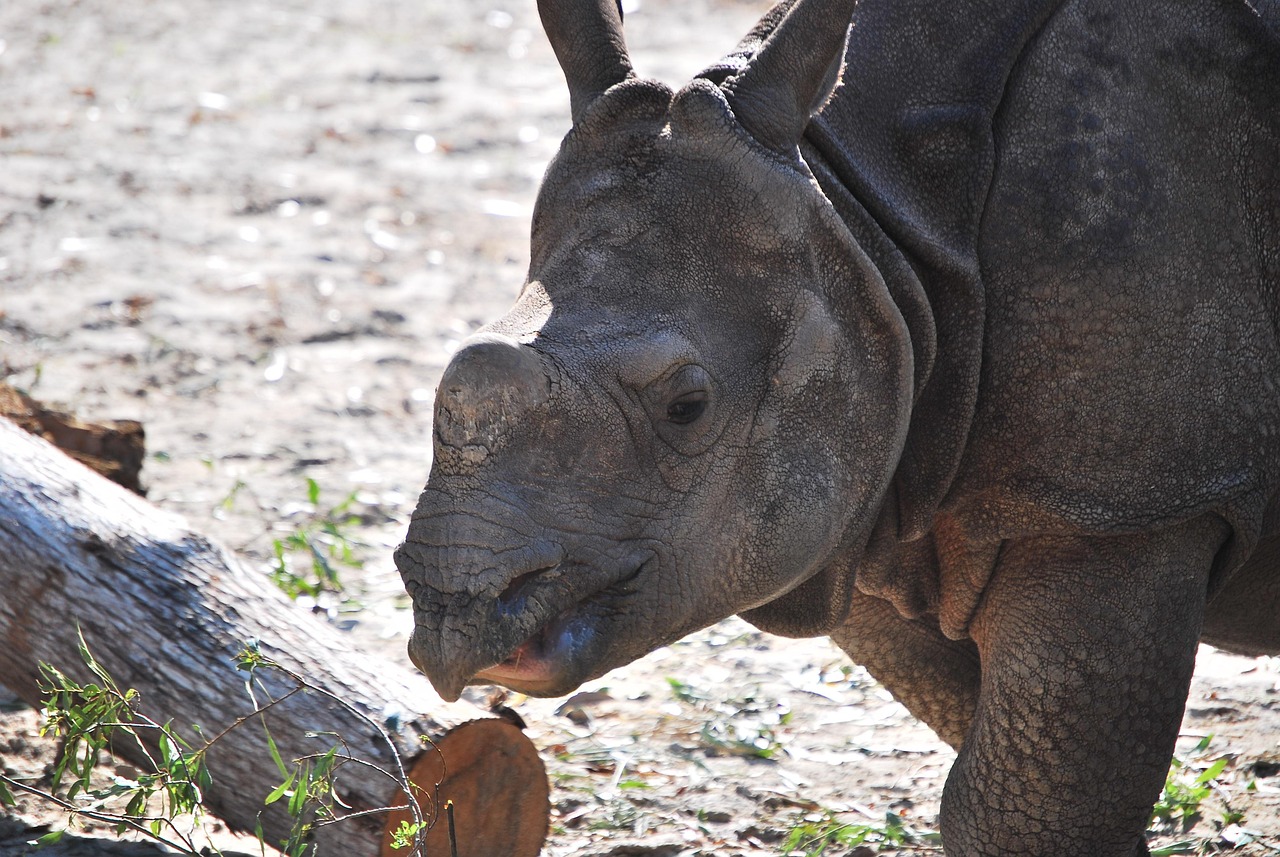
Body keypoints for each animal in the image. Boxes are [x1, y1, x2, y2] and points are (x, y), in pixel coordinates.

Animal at [395, 0, 1280, 852]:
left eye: (688, 406)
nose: (448, 623)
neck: (869, 222)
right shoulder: (866, 481)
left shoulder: (1120, 507)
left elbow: (1027, 814)